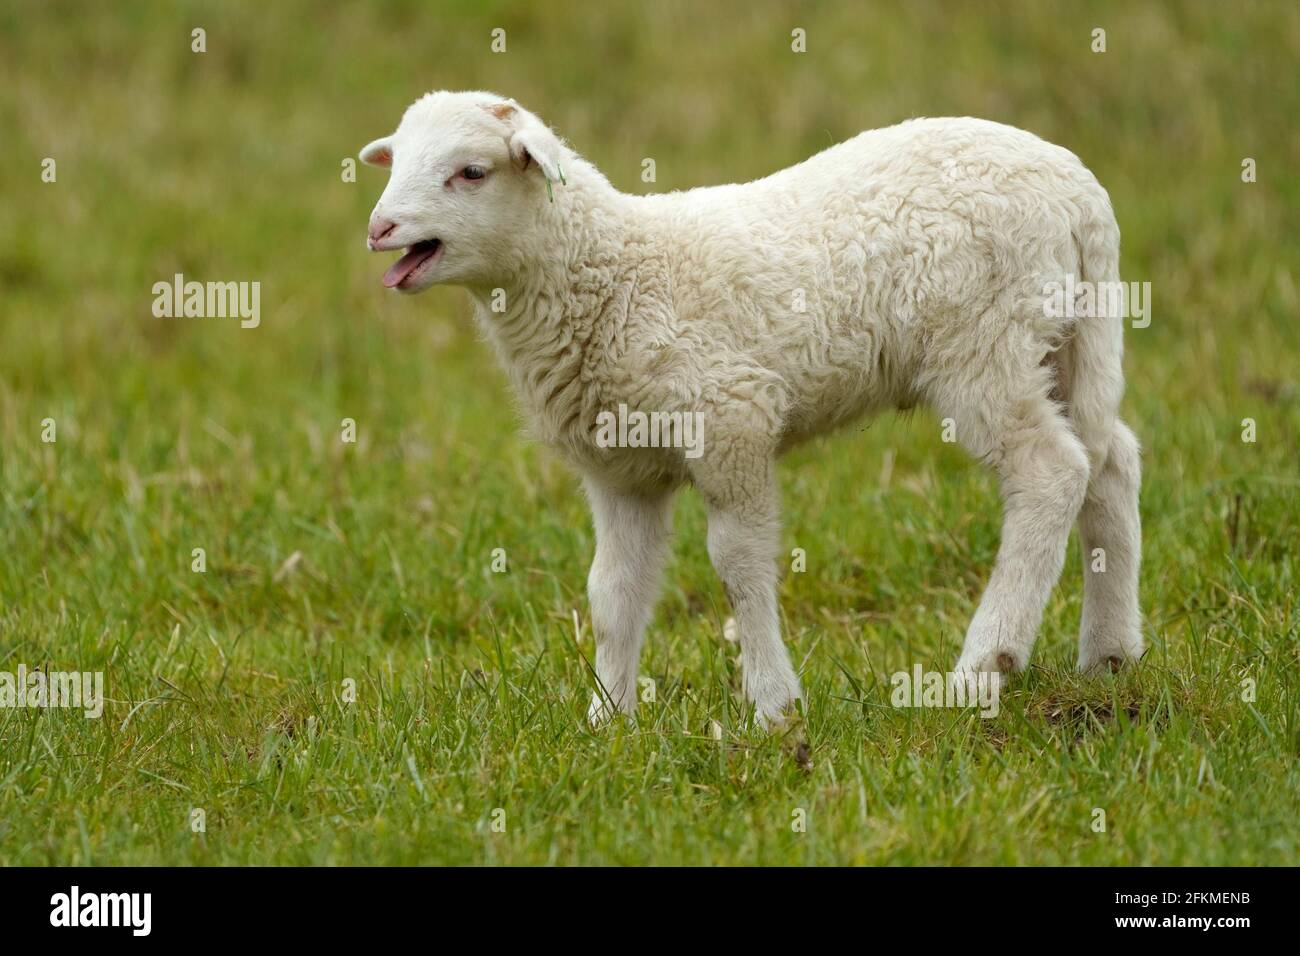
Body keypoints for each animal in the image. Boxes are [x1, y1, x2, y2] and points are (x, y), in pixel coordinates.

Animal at [359, 90, 1144, 728]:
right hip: (1064, 336)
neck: (615, 273)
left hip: (986, 342)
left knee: (1052, 471)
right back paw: (1109, 656)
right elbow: (612, 593)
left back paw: (982, 667)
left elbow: (738, 564)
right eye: (396, 161)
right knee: (1111, 461)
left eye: (471, 172)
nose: (379, 228)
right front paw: (607, 720)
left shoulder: (730, 417)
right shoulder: (622, 469)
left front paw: (773, 706)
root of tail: (1081, 195)